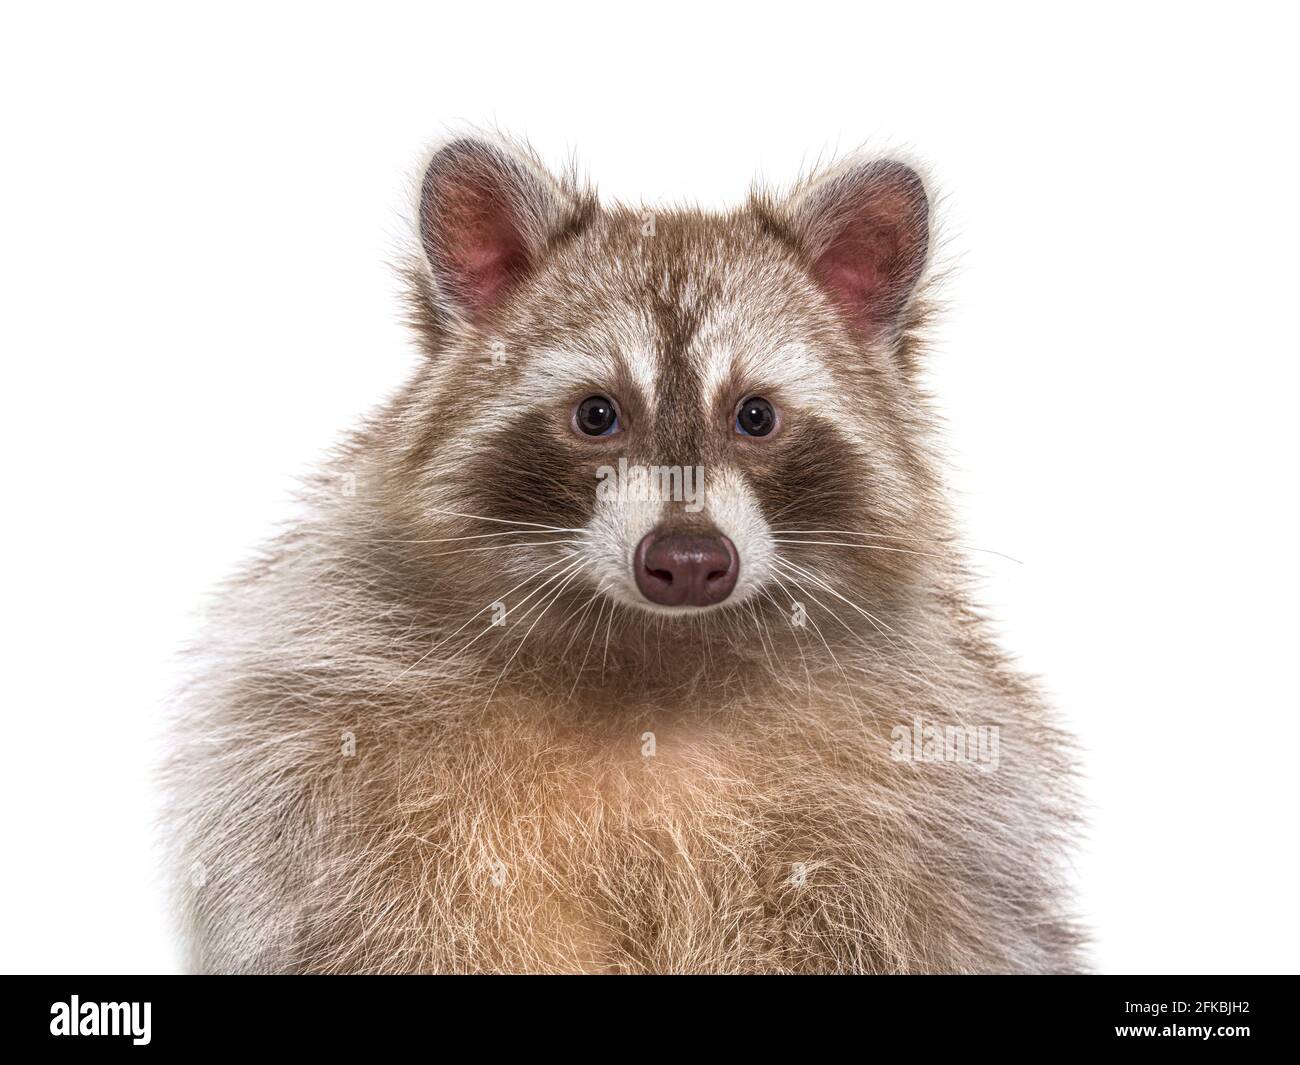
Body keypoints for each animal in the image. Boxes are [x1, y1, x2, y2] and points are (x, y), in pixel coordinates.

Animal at [165, 135, 1082, 974]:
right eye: (597, 414)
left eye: (755, 416)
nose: (689, 558)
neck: (656, 654)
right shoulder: (329, 764)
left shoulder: (925, 809)